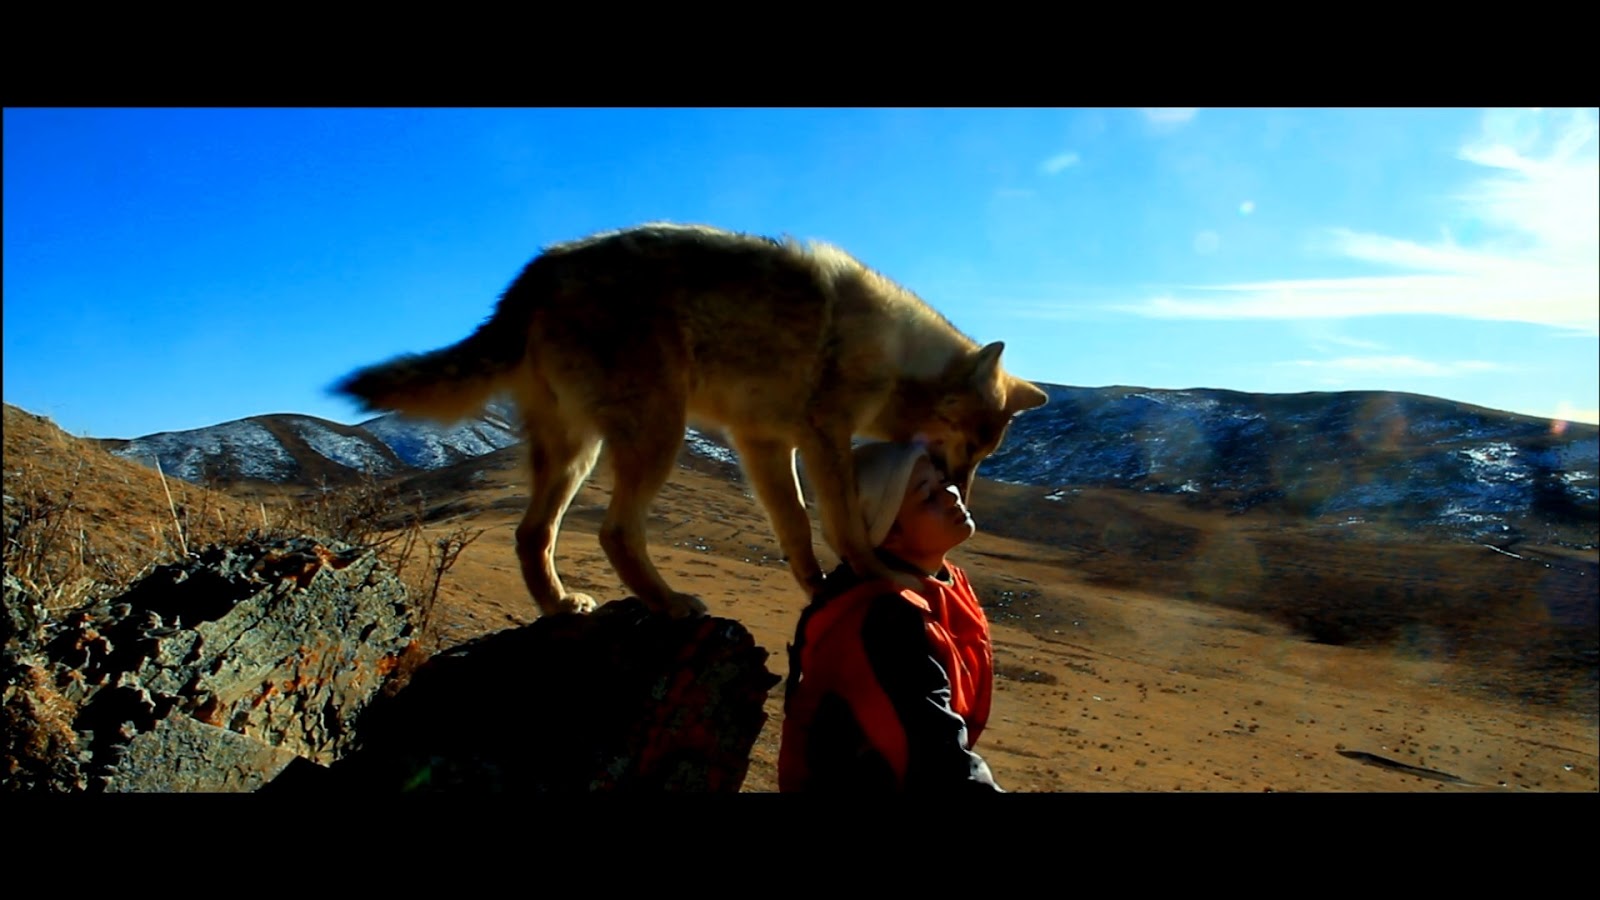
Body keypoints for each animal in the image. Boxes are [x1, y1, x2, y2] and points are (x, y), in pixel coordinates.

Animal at [334, 222, 1048, 620]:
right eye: (971, 448)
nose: (960, 494)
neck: (895, 356)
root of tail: (539, 269)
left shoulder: (765, 444)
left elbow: (795, 530)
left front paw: (817, 589)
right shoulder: (823, 438)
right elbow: (846, 529)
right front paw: (885, 578)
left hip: (578, 454)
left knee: (532, 534)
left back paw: (561, 607)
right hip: (657, 437)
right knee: (615, 532)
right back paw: (670, 604)